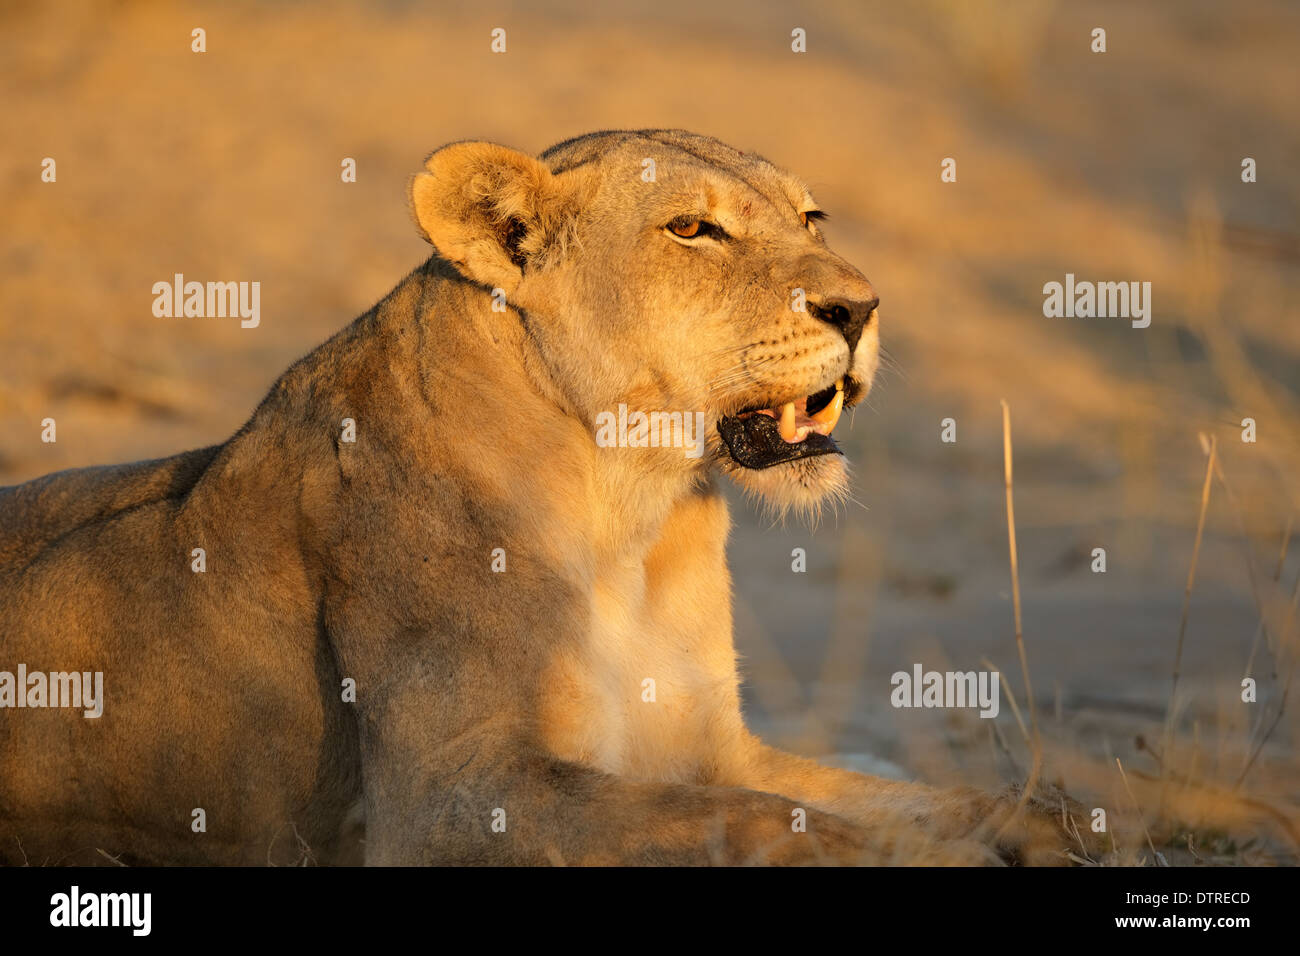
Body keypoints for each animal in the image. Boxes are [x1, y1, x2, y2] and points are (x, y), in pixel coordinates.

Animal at [0, 130, 1081, 866]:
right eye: (693, 229)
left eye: (811, 219)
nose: (859, 308)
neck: (628, 511)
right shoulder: (445, 799)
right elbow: (762, 819)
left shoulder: (710, 745)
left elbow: (902, 796)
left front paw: (1041, 825)